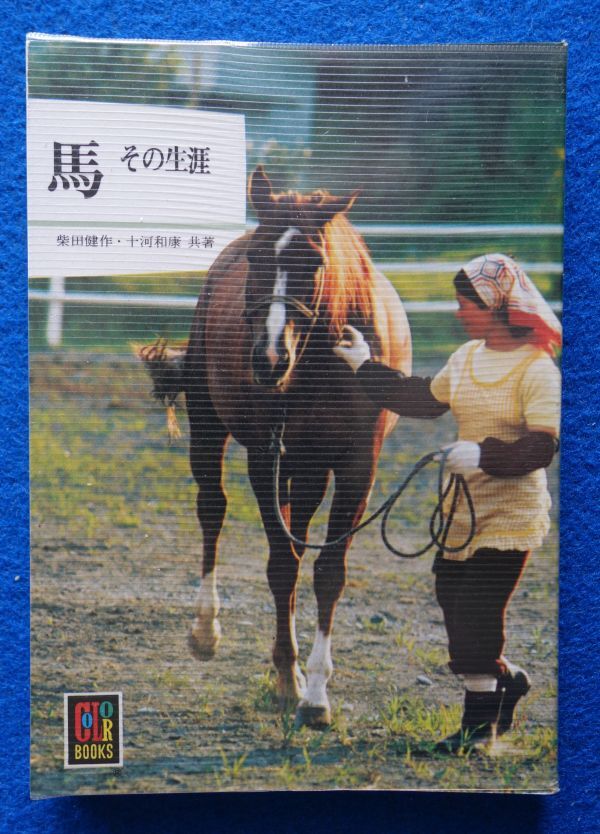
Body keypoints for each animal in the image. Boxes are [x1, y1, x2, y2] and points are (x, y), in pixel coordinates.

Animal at [141, 165, 412, 727]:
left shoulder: (356, 468)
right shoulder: (265, 456)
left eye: (315, 263)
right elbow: (281, 566)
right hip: (211, 430)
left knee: (297, 531)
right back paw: (208, 631)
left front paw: (315, 691)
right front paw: (291, 677)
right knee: (213, 510)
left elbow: (327, 572)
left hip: (306, 469)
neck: (318, 366)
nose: (269, 359)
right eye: (257, 258)